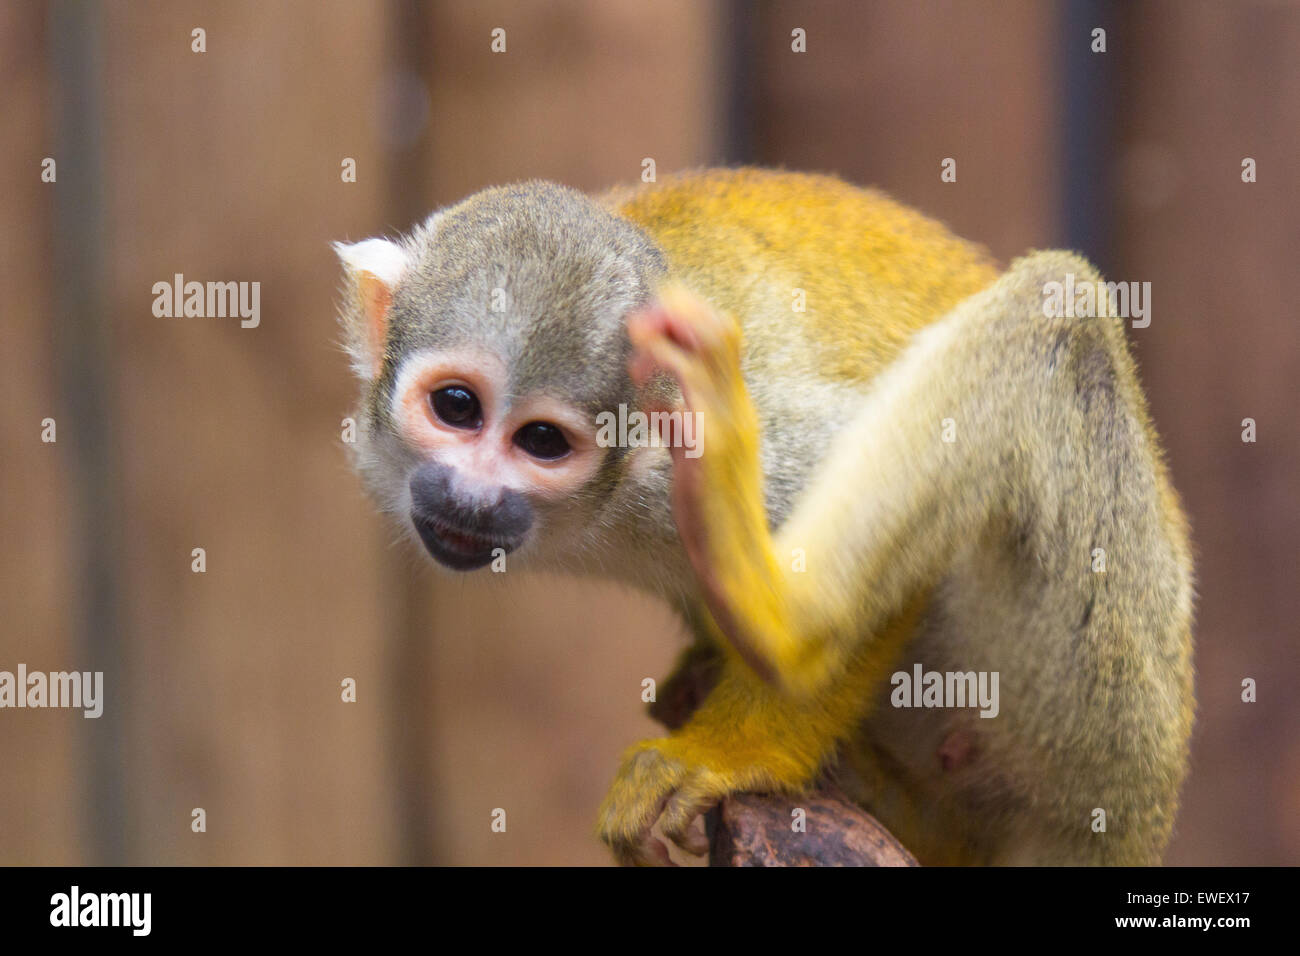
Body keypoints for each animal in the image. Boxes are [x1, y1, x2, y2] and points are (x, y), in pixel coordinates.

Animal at [334, 167, 1195, 866]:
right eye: (457, 407)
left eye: (542, 441)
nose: (470, 497)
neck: (602, 505)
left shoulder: (701, 447)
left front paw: (725, 751)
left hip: (1106, 706)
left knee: (1059, 314)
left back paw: (785, 619)